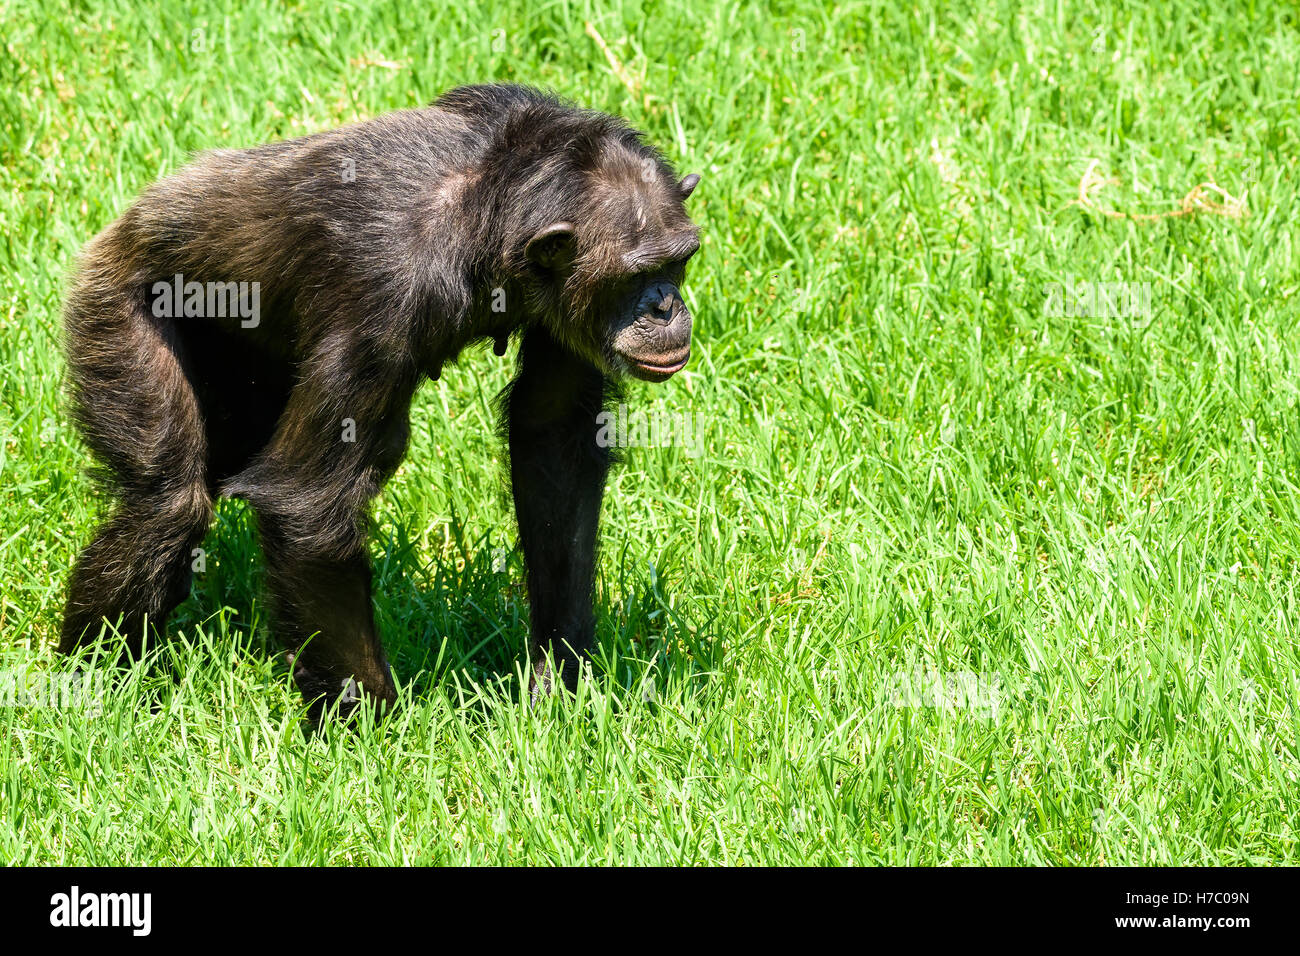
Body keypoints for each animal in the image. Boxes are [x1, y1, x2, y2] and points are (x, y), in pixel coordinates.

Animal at [58, 84, 702, 721]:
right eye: (636, 274)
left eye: (679, 261)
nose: (666, 305)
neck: (487, 216)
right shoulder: (382, 295)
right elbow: (311, 504)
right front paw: (375, 727)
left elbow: (554, 439)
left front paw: (557, 682)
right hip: (116, 308)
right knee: (165, 506)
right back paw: (92, 682)